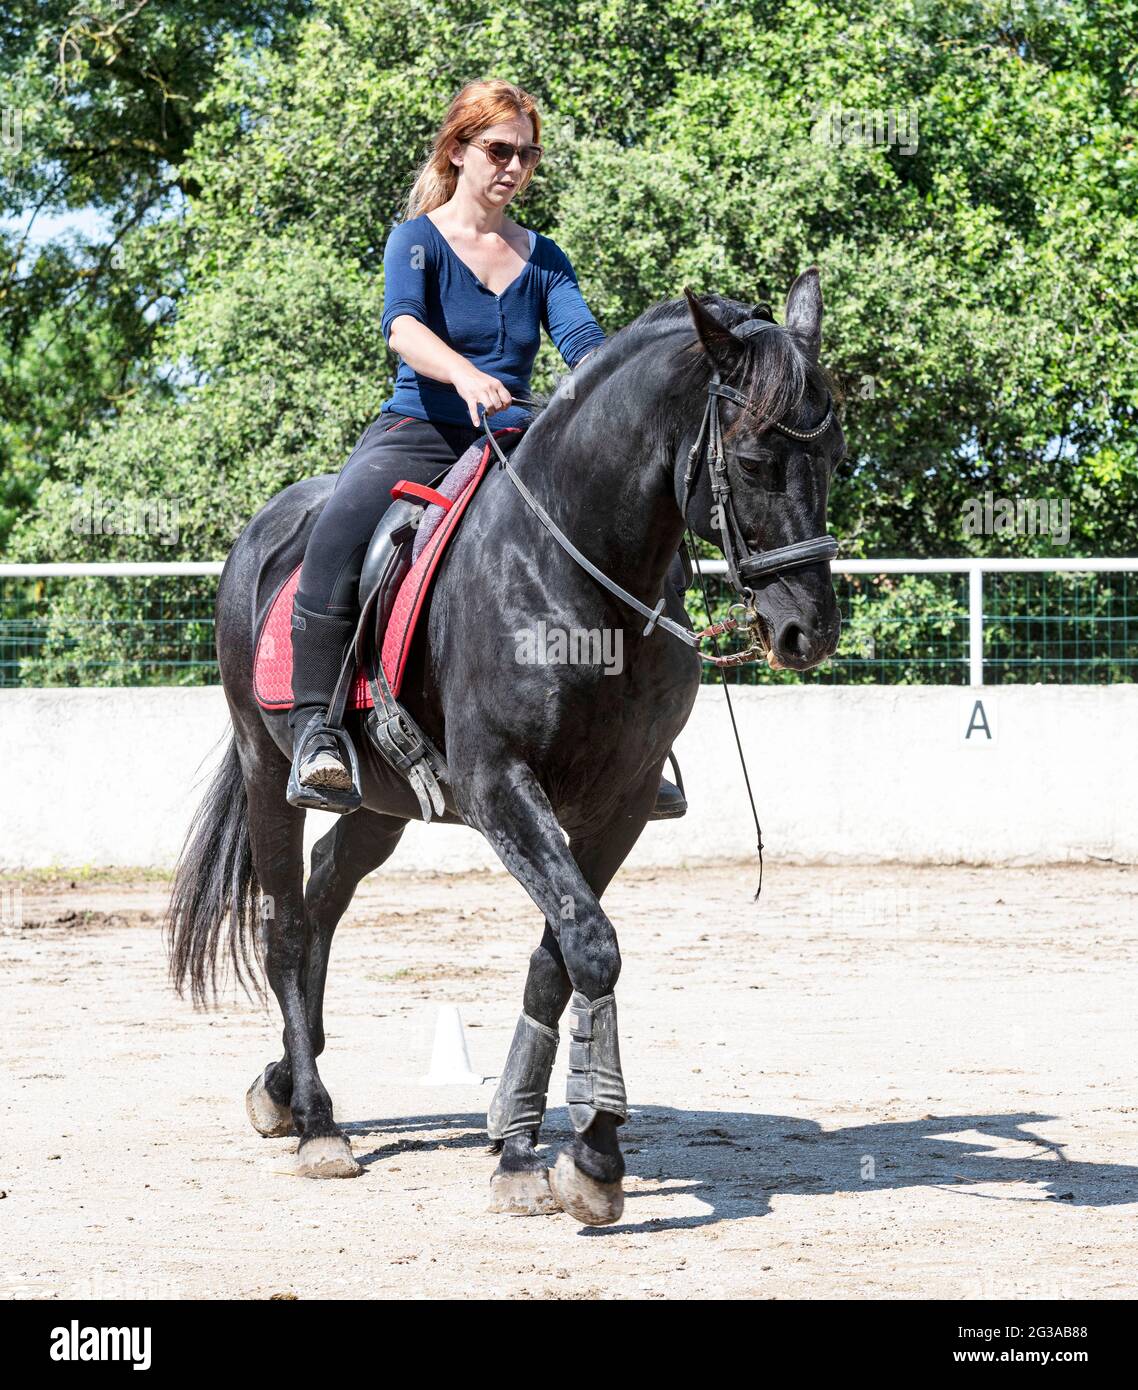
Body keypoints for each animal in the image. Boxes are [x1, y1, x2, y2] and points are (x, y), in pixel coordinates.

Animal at [166, 271, 844, 1226]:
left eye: (836, 458)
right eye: (751, 462)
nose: (807, 631)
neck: (572, 574)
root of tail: (264, 534)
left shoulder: (621, 802)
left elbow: (558, 959)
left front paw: (522, 1144)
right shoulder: (499, 787)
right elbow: (591, 945)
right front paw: (592, 1159)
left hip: (385, 804)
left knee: (330, 886)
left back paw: (283, 1086)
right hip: (271, 773)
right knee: (289, 925)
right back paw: (318, 1124)